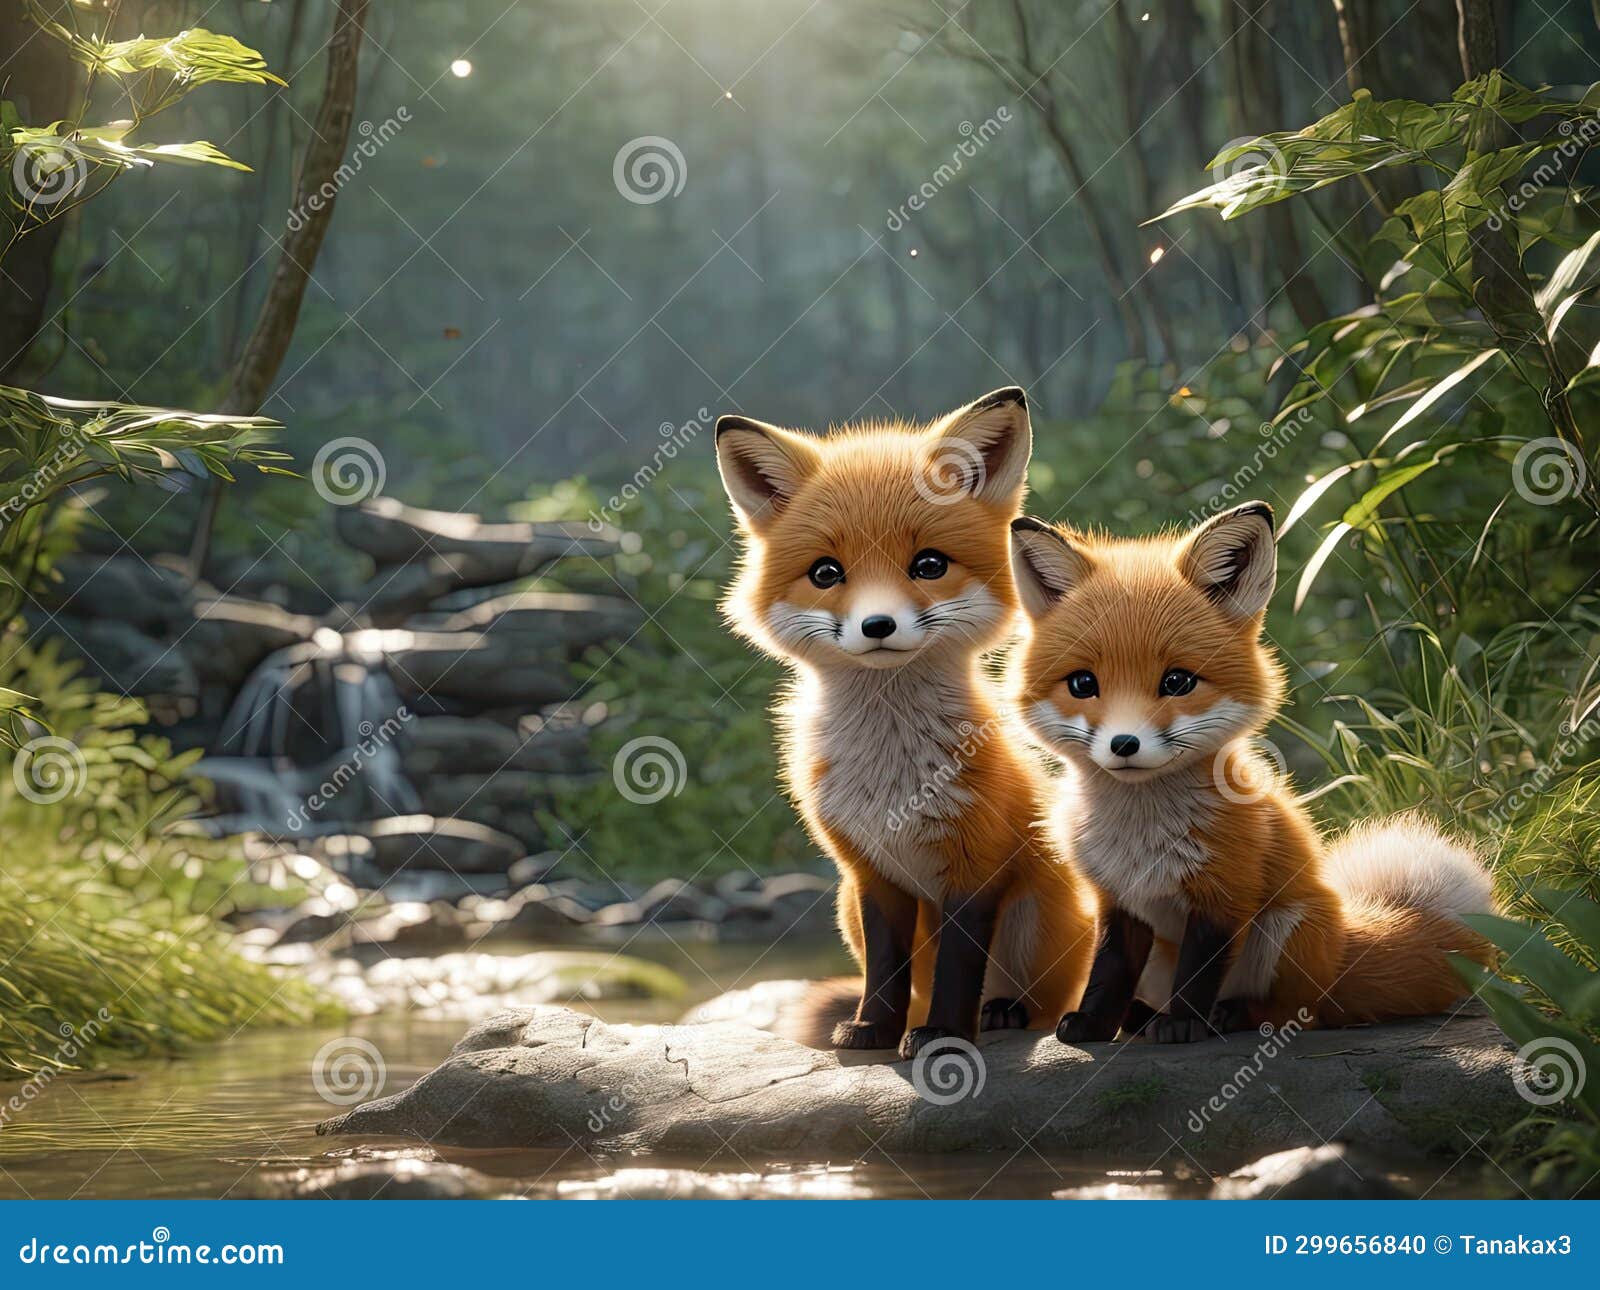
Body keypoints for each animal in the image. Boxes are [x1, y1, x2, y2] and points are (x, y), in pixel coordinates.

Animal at [713, 387, 1096, 1059]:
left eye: (929, 564)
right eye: (826, 573)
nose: (878, 625)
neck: (893, 776)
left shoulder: (976, 869)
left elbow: (958, 970)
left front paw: (943, 1035)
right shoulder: (869, 873)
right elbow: (886, 971)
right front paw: (873, 1030)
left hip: (1037, 912)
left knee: (1040, 1001)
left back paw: (1004, 1013)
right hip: (843, 904)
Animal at [1006, 501, 1496, 1044]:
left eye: (1177, 681)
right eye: (1082, 683)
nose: (1124, 744)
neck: (1141, 836)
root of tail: (1342, 948)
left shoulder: (1225, 896)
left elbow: (1197, 974)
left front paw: (1183, 1024)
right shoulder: (1117, 899)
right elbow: (1107, 971)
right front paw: (1092, 1025)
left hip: (1286, 927)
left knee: (1296, 1012)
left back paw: (1228, 1016)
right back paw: (1141, 1018)